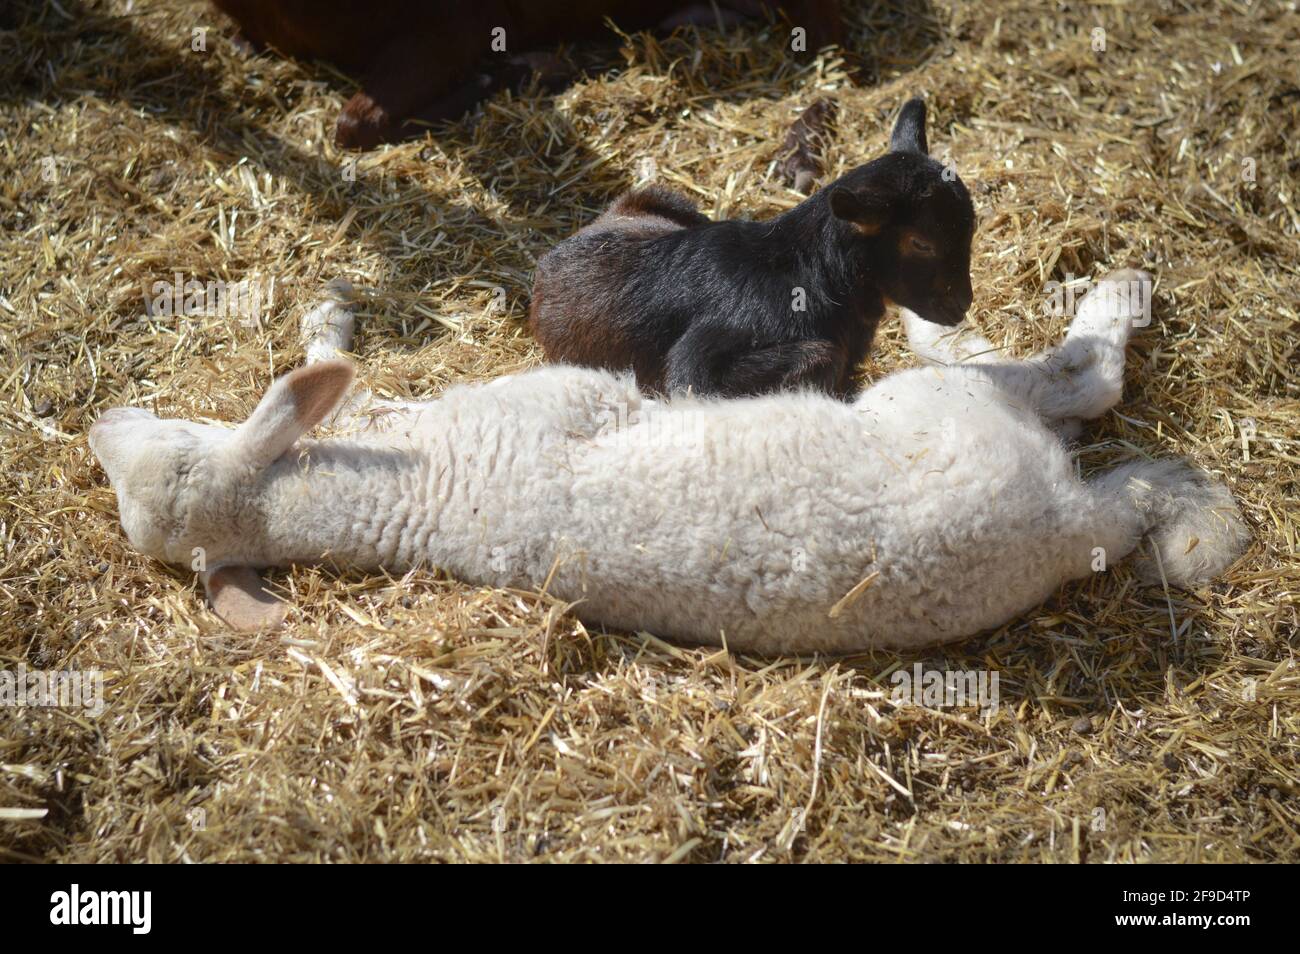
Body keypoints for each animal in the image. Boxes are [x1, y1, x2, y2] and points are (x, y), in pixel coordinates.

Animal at [89, 270, 1248, 653]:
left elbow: (350, 377)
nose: (98, 423)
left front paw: (324, 316)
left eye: (150, 446)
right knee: (1080, 390)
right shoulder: (558, 397)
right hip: (948, 415)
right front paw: (329, 328)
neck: (420, 483)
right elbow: (345, 379)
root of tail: (1062, 532)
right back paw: (1108, 309)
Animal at [528, 98, 977, 399]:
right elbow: (820, 356)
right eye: (921, 242)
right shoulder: (698, 369)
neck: (813, 274)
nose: (963, 304)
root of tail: (551, 259)